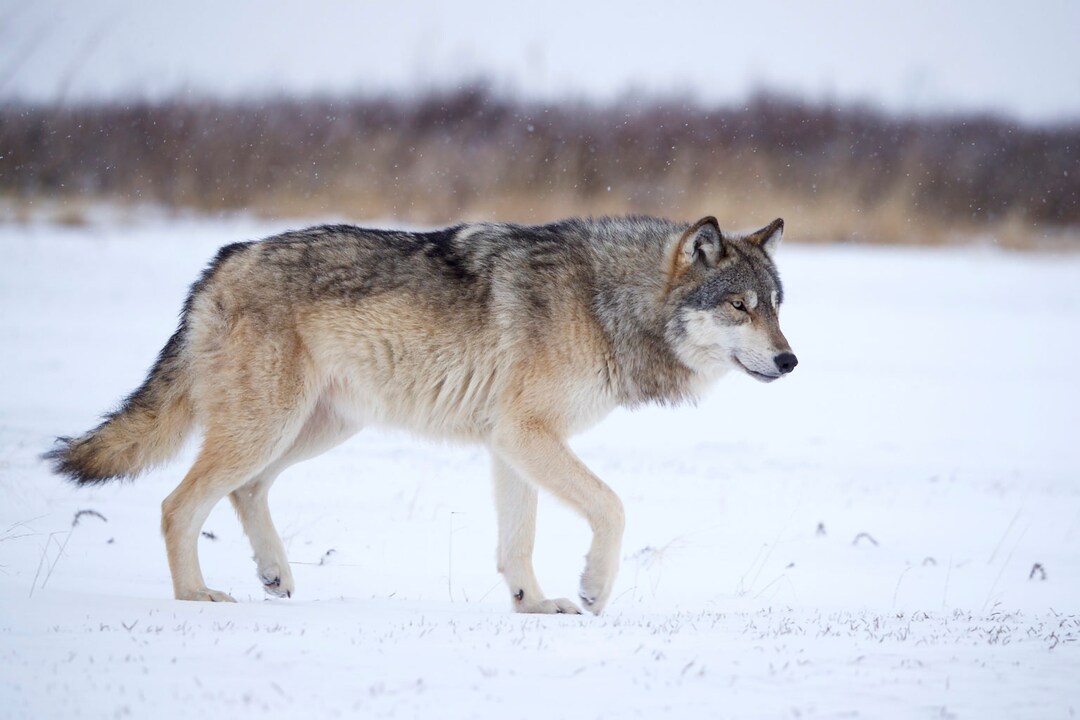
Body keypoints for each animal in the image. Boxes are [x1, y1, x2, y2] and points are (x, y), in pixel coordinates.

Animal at [46, 215, 797, 614]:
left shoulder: (510, 444)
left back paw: (274, 576)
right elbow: (612, 507)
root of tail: (223, 259)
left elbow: (517, 544)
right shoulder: (527, 434)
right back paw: (195, 597)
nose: (790, 361)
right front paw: (590, 588)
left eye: (776, 305)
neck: (606, 301)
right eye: (739, 306)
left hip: (314, 428)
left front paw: (534, 606)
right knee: (178, 504)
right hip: (269, 426)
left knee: (244, 490)